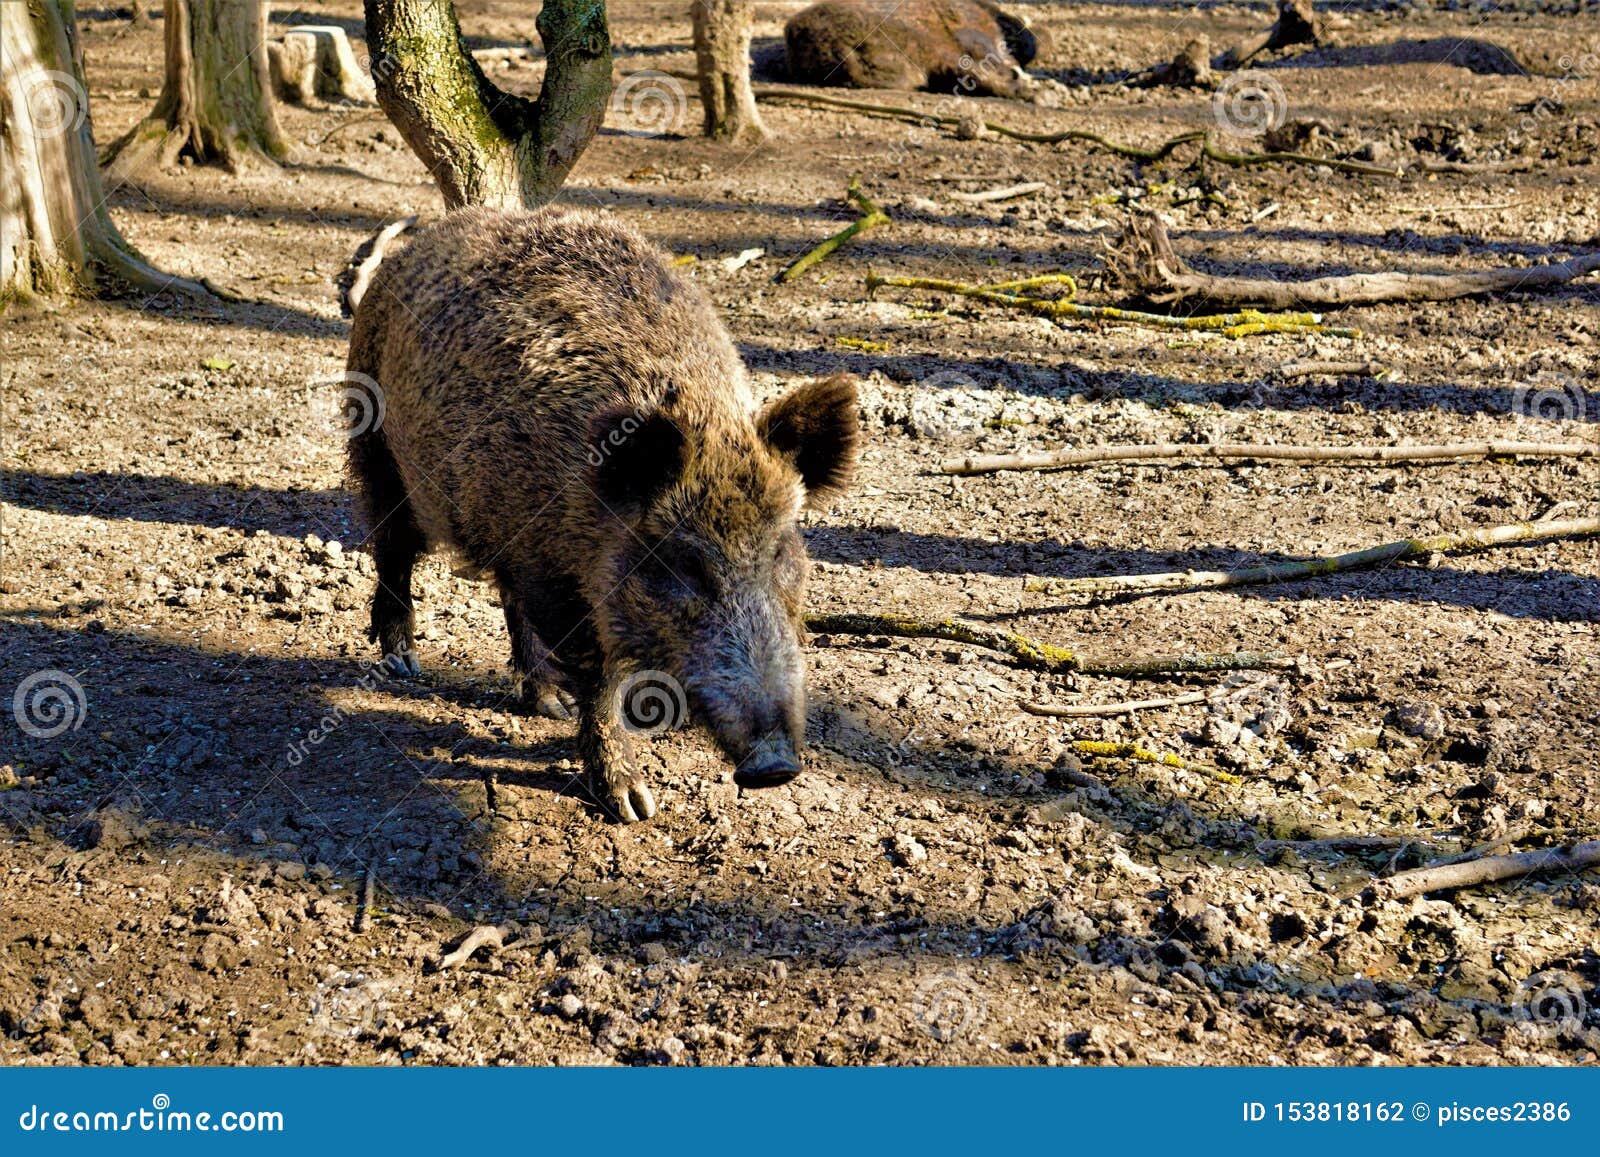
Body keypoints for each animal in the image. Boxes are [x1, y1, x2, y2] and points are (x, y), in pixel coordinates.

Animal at [341, 208, 859, 823]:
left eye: (781, 553)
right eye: (682, 563)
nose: (775, 765)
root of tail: (415, 246)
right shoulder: (560, 582)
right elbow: (601, 680)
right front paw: (632, 806)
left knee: (504, 595)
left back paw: (548, 704)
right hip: (375, 445)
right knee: (392, 547)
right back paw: (403, 663)